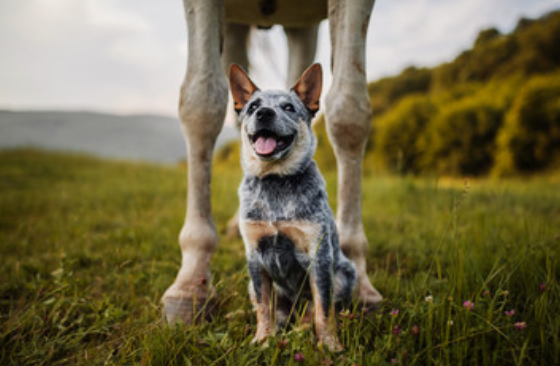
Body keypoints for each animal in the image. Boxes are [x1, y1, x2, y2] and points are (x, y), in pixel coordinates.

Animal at [229, 63, 356, 352]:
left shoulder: (319, 256)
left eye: (288, 107)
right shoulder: (255, 256)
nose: (264, 113)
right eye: (253, 106)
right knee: (270, 309)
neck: (275, 181)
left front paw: (331, 345)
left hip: (344, 274)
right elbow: (263, 306)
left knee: (312, 311)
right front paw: (263, 340)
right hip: (253, 284)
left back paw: (299, 331)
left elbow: (323, 309)